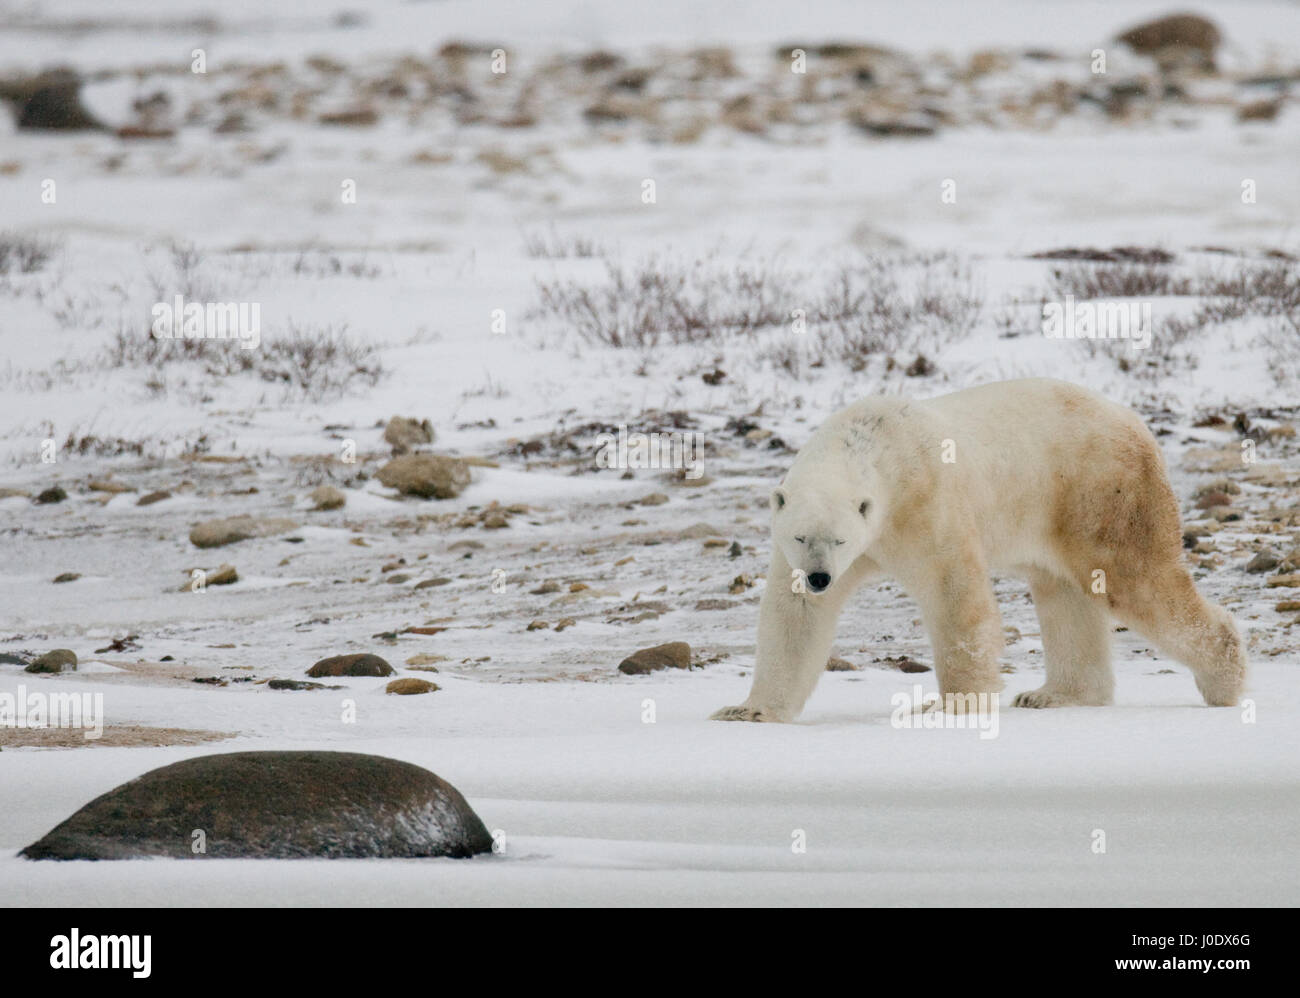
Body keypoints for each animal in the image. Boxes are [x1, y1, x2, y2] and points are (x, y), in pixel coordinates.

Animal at [710, 378, 1247, 723]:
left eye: (839, 538)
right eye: (801, 537)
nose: (821, 578)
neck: (876, 446)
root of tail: (1134, 420)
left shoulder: (926, 501)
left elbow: (953, 595)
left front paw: (947, 705)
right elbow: (795, 618)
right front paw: (746, 710)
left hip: (1101, 492)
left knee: (1133, 578)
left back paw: (1223, 682)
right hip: (1058, 510)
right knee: (1065, 596)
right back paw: (1052, 695)